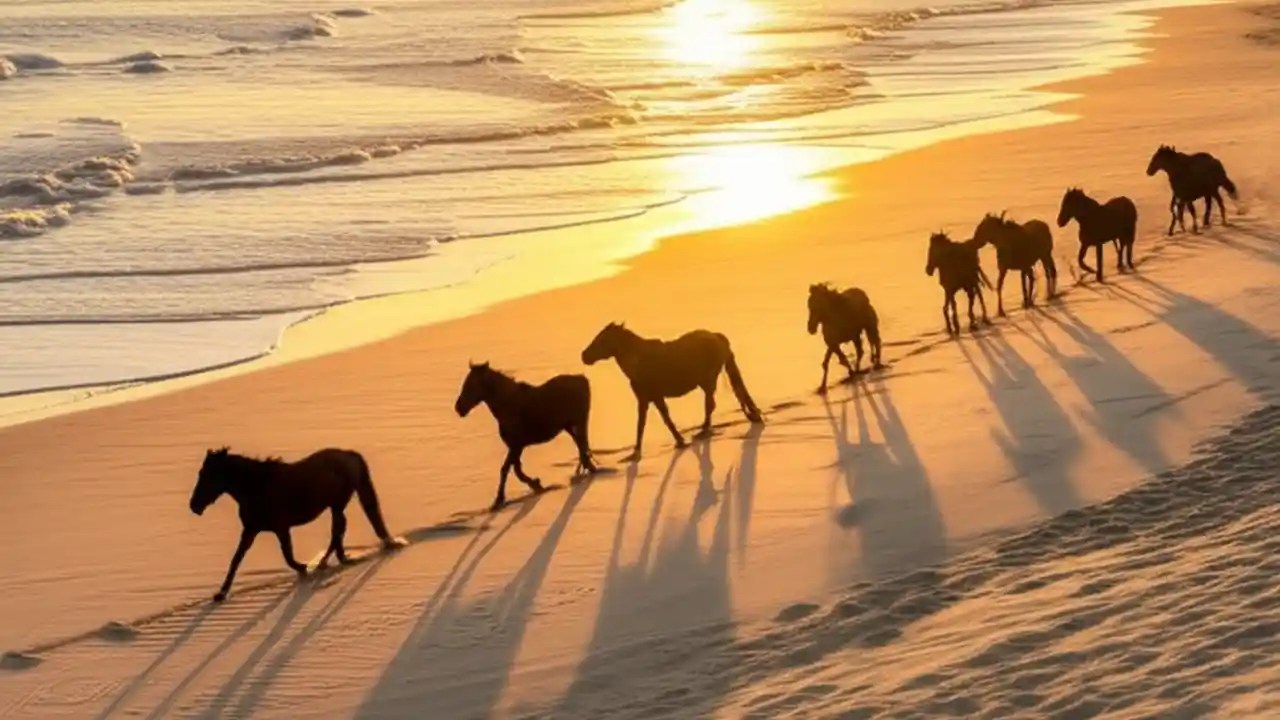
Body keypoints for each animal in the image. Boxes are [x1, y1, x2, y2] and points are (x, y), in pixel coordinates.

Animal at [190, 447, 404, 602]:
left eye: (207, 476)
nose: (194, 506)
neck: (257, 487)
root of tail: (350, 455)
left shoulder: (281, 528)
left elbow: (288, 556)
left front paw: (303, 568)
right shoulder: (250, 530)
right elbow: (236, 559)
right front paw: (221, 593)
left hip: (336, 504)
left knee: (338, 530)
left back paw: (328, 561)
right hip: (336, 506)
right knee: (339, 530)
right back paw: (334, 559)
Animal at [455, 362, 597, 511]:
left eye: (471, 384)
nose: (458, 408)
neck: (507, 405)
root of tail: (582, 378)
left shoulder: (516, 445)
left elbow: (506, 469)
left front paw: (500, 499)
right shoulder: (515, 446)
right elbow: (516, 469)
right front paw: (535, 483)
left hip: (580, 421)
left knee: (583, 445)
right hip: (569, 426)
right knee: (581, 445)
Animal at [581, 322, 763, 460]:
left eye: (602, 339)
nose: (584, 356)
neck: (639, 361)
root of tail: (716, 336)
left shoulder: (652, 396)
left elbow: (656, 420)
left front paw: (677, 442)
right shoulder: (647, 399)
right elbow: (648, 421)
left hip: (708, 380)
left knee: (710, 404)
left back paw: (703, 431)